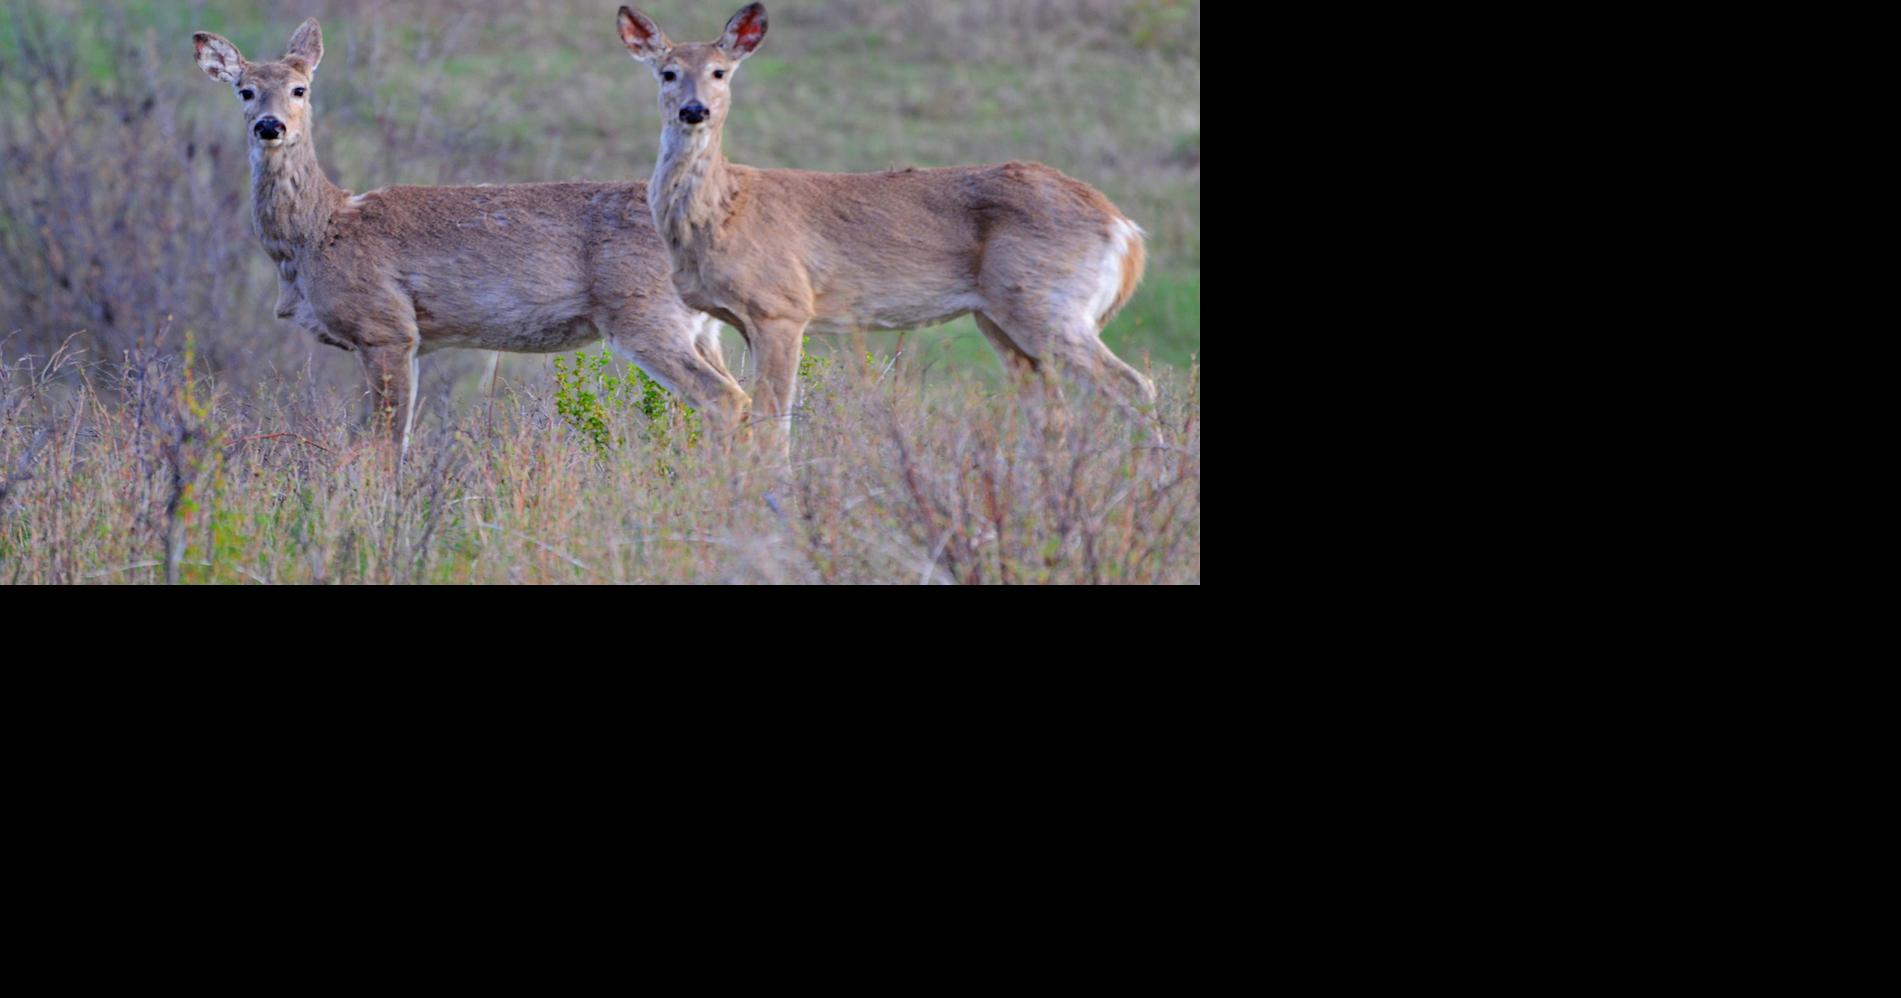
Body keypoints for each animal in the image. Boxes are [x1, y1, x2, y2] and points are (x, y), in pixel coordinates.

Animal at [191, 18, 751, 452]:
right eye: (245, 90)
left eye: (300, 89)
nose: (270, 125)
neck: (318, 233)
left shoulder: (385, 327)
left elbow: (386, 446)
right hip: (701, 327)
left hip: (643, 311)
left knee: (726, 398)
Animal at [614, 4, 1159, 457]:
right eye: (668, 72)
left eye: (719, 71)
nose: (694, 110)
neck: (724, 212)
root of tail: (1125, 229)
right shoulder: (745, 320)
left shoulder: (783, 306)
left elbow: (774, 421)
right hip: (1001, 320)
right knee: (1054, 414)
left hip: (1048, 302)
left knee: (1134, 386)